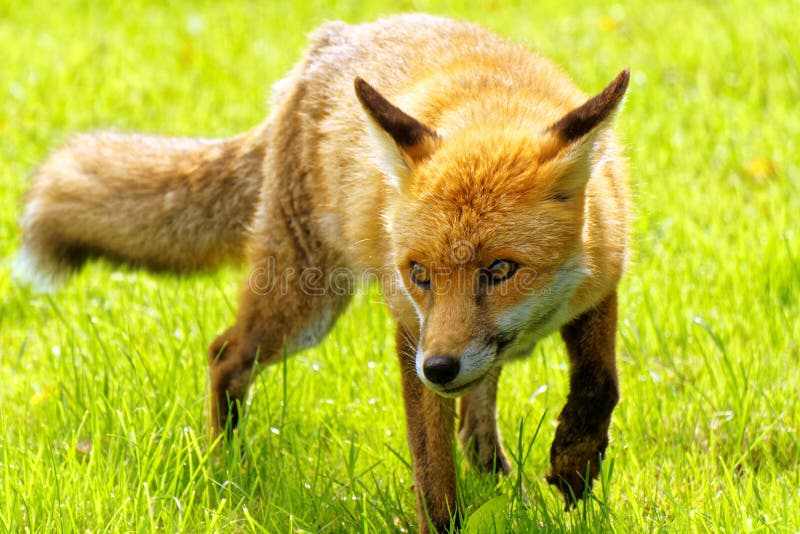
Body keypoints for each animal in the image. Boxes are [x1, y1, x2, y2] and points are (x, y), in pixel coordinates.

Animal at [15, 14, 629, 533]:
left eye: (500, 269)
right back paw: (227, 469)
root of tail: (324, 45)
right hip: (305, 306)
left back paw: (506, 486)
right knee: (223, 355)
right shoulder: (412, 329)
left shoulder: (601, 284)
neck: (487, 111)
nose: (438, 369)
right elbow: (432, 472)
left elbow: (601, 382)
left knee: (476, 420)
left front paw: (574, 463)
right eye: (419, 273)